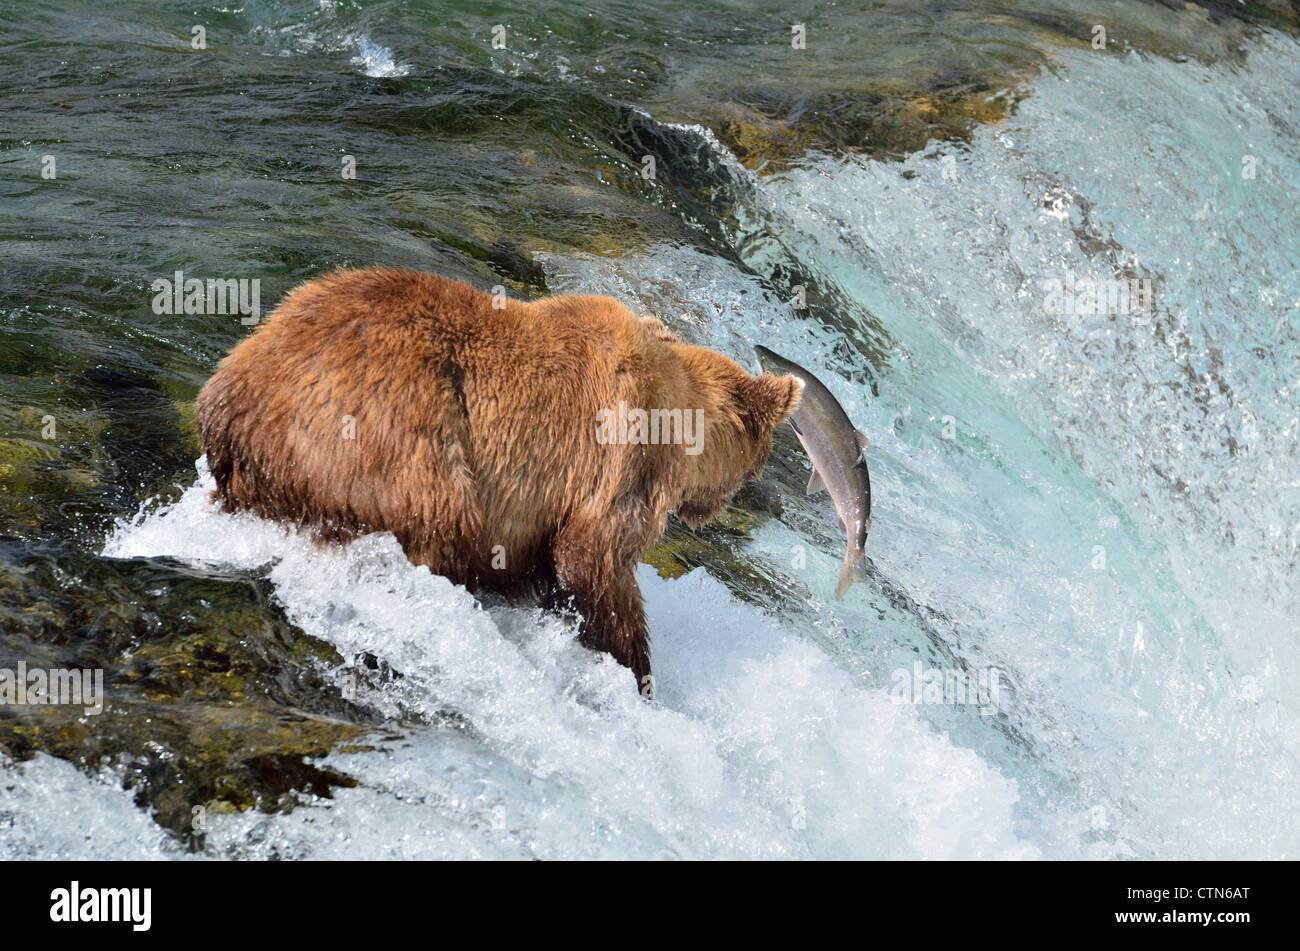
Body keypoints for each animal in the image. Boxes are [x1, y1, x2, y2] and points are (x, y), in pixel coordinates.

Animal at [196, 267, 801, 693]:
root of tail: (233, 400)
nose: (716, 507)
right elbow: (594, 559)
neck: (678, 417)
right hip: (397, 431)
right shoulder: (619, 459)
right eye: (758, 460)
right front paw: (637, 670)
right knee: (439, 519)